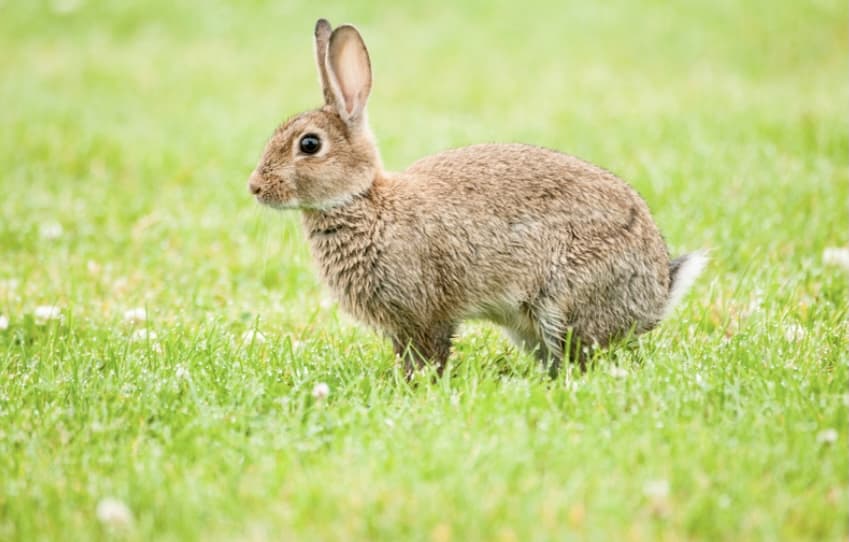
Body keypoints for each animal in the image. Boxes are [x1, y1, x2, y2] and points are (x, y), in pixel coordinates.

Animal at [247, 19, 707, 376]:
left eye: (309, 145)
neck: (364, 203)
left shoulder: (426, 311)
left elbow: (430, 353)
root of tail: (657, 294)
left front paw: (419, 388)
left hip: (563, 303)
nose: (254, 187)